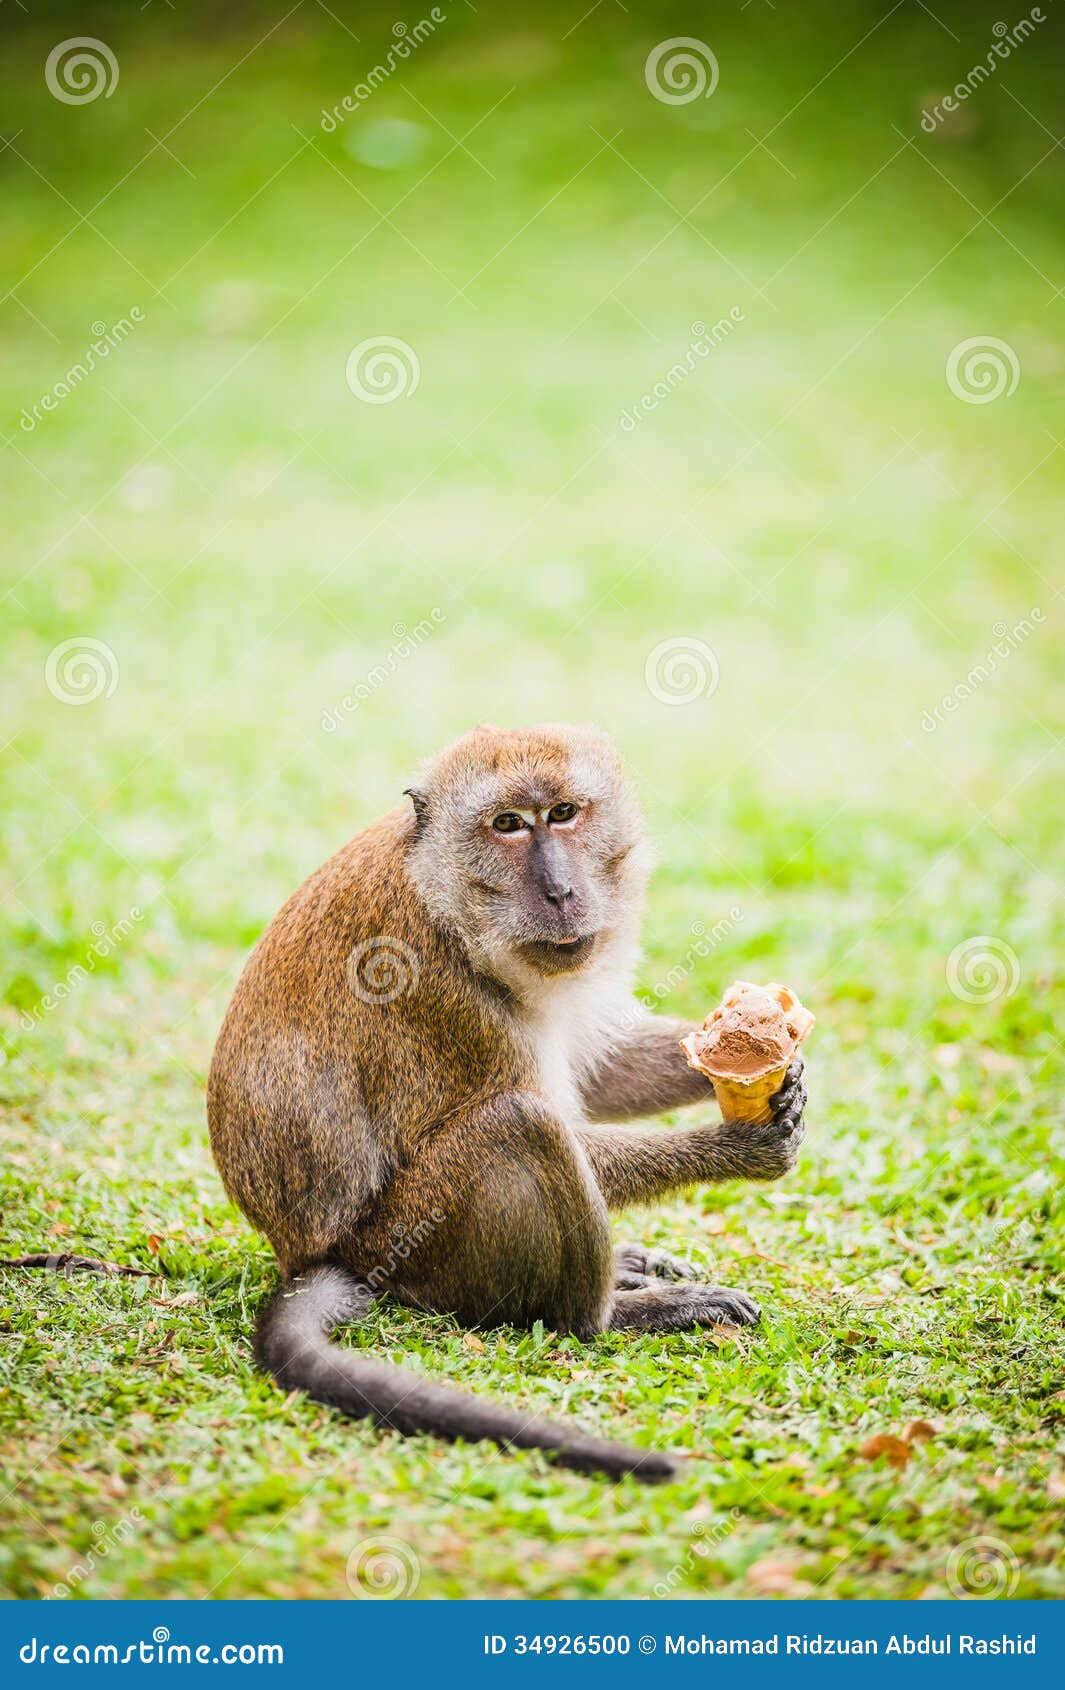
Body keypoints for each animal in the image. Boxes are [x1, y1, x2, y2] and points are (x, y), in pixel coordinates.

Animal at [207, 723, 807, 1483]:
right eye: (508, 825)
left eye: (564, 814)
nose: (559, 889)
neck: (448, 897)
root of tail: (313, 1255)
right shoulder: (439, 989)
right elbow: (551, 1119)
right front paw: (737, 1146)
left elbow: (601, 1071)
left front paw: (761, 1057)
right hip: (413, 1244)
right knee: (522, 1126)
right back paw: (609, 1316)